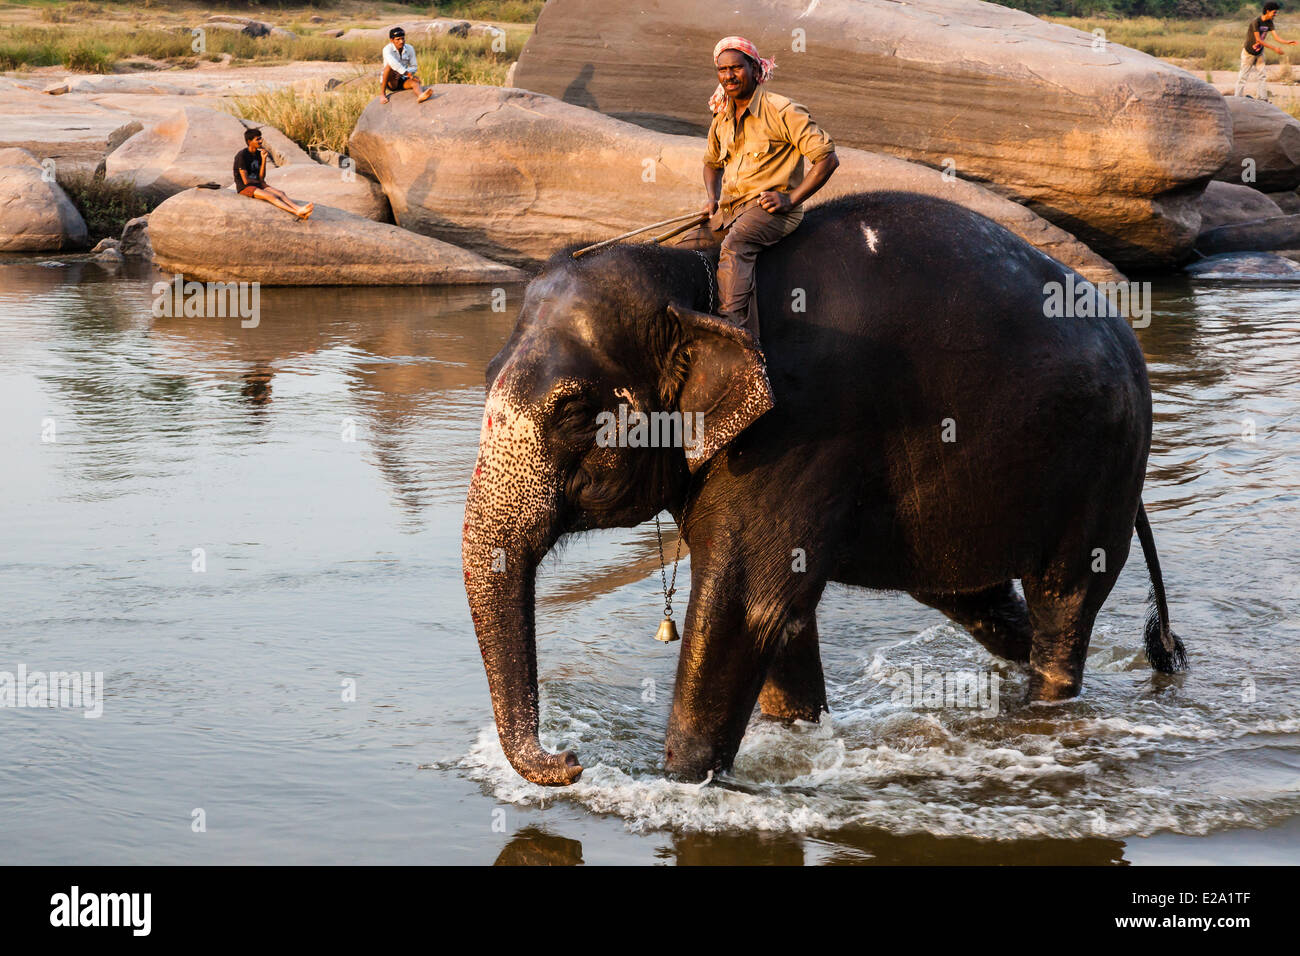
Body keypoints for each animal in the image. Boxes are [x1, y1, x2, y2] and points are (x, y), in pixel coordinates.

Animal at [462, 191, 1188, 787]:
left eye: (573, 412)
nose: (570, 760)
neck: (694, 273)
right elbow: (780, 617)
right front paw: (793, 737)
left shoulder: (803, 431)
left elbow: (744, 605)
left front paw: (681, 785)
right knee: (978, 600)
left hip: (1107, 463)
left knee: (1065, 599)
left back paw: (1049, 704)